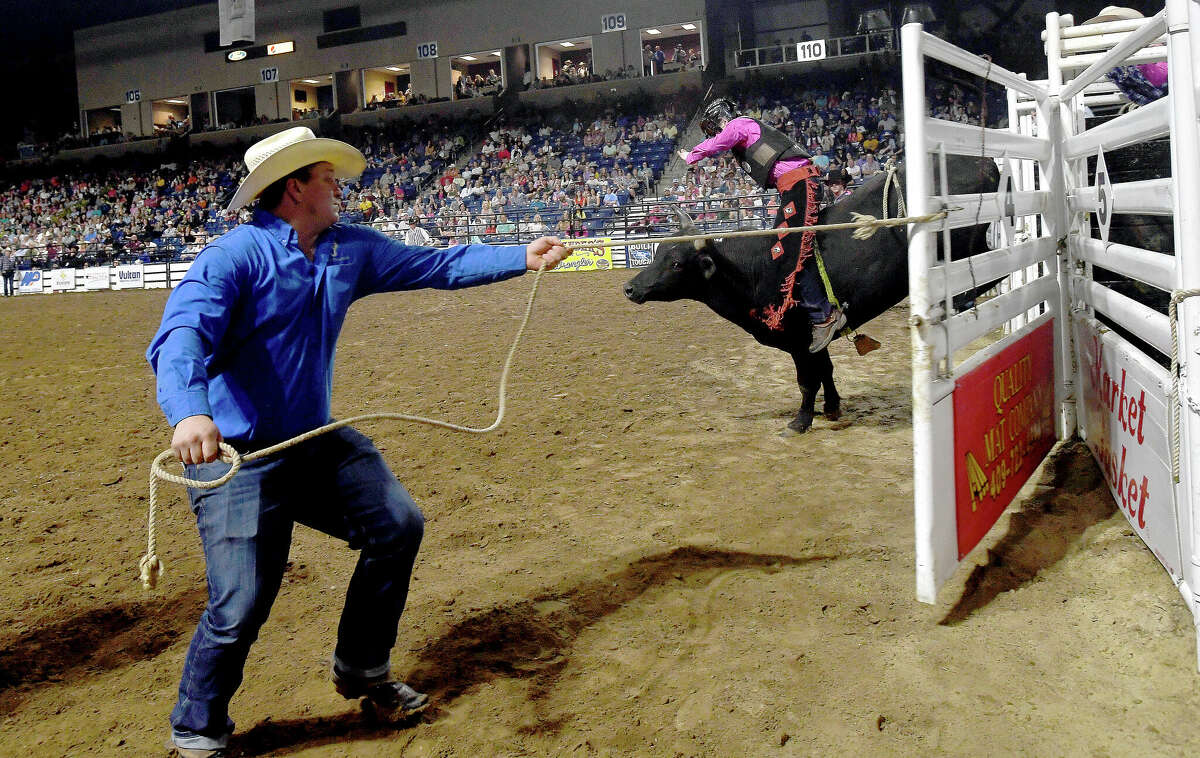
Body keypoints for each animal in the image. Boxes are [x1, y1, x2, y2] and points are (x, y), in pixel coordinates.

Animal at [624, 156, 999, 434]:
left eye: (676, 263)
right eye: (657, 252)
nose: (629, 288)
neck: (754, 269)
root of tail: (984, 163)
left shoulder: (798, 341)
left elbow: (807, 381)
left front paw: (800, 421)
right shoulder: (817, 339)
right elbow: (827, 371)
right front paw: (832, 408)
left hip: (965, 242)